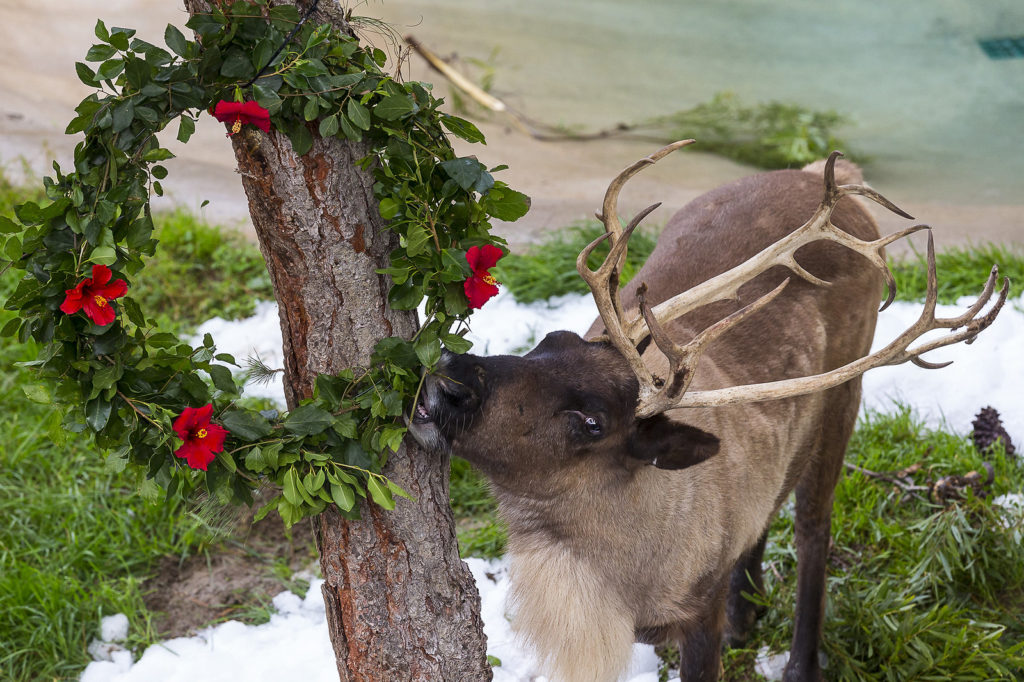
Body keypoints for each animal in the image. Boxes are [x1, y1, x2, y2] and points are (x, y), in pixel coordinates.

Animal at [408, 141, 1008, 682]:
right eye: (550, 340)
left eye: (593, 421)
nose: (451, 377)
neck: (611, 578)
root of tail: (829, 180)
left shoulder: (698, 614)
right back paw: (750, 614)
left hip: (846, 392)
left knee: (814, 526)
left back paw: (801, 665)